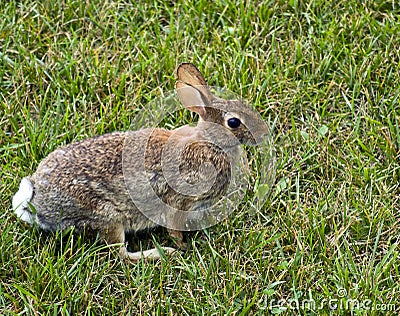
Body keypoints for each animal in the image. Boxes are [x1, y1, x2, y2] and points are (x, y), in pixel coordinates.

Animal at [12, 62, 270, 262]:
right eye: (234, 122)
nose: (264, 133)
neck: (209, 143)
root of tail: (38, 201)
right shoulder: (181, 201)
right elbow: (174, 227)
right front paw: (182, 247)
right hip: (107, 216)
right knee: (120, 255)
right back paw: (160, 253)